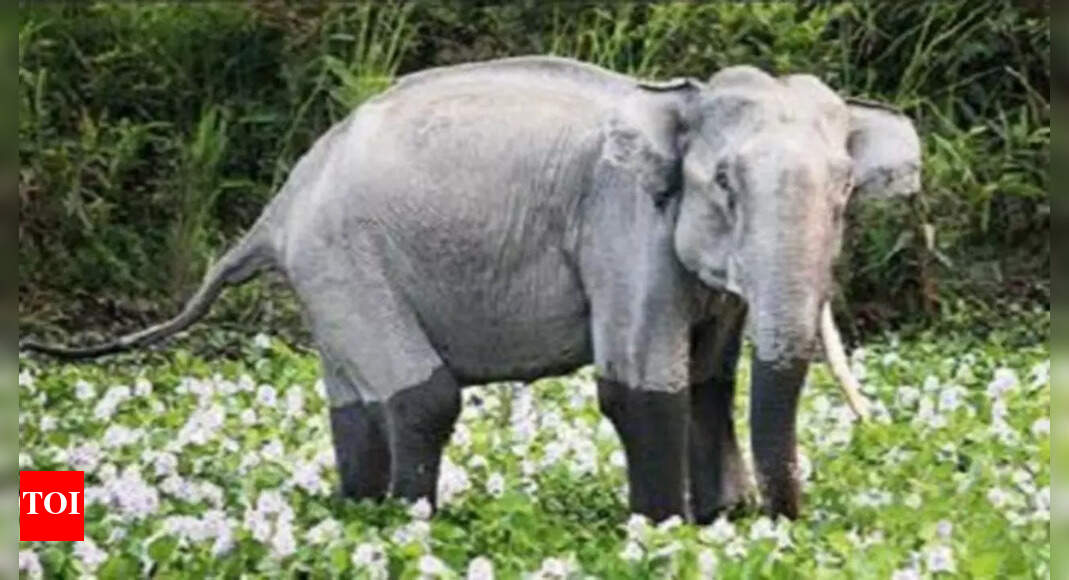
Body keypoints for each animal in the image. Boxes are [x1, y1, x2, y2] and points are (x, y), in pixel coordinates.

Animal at [21, 56, 920, 522]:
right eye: (725, 186)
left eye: (845, 193)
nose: (777, 517)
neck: (678, 98)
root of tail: (275, 210)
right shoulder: (619, 226)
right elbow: (640, 386)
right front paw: (661, 529)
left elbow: (708, 378)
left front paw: (713, 526)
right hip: (342, 256)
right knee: (424, 396)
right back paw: (413, 521)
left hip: (329, 271)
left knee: (356, 397)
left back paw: (362, 511)